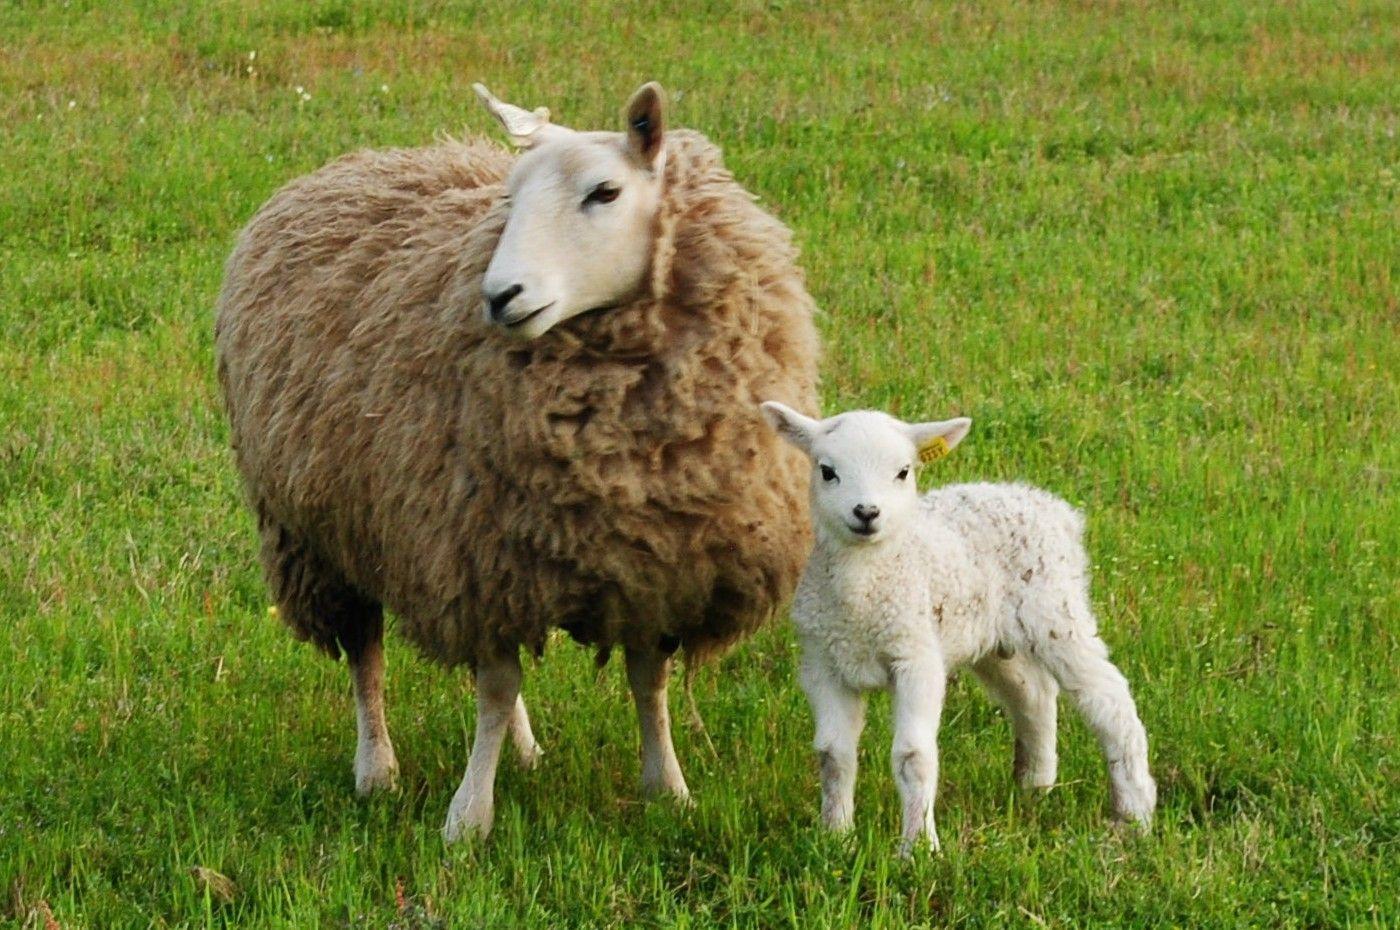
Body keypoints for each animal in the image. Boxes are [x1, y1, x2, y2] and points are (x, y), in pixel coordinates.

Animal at [214, 82, 820, 842]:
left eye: (605, 191)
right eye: (512, 196)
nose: (500, 296)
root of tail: (361, 161)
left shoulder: (654, 561)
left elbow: (645, 683)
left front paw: (668, 789)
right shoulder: (473, 555)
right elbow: (495, 691)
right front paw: (469, 818)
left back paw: (525, 751)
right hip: (318, 533)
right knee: (365, 654)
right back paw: (376, 769)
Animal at [759, 402, 1157, 853]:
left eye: (903, 472)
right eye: (827, 471)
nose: (866, 513)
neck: (861, 592)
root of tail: (1048, 504)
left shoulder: (916, 658)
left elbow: (913, 756)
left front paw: (919, 848)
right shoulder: (823, 664)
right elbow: (832, 755)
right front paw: (835, 839)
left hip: (1057, 610)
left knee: (1110, 699)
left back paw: (1135, 813)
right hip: (994, 640)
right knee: (1034, 695)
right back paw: (1034, 788)